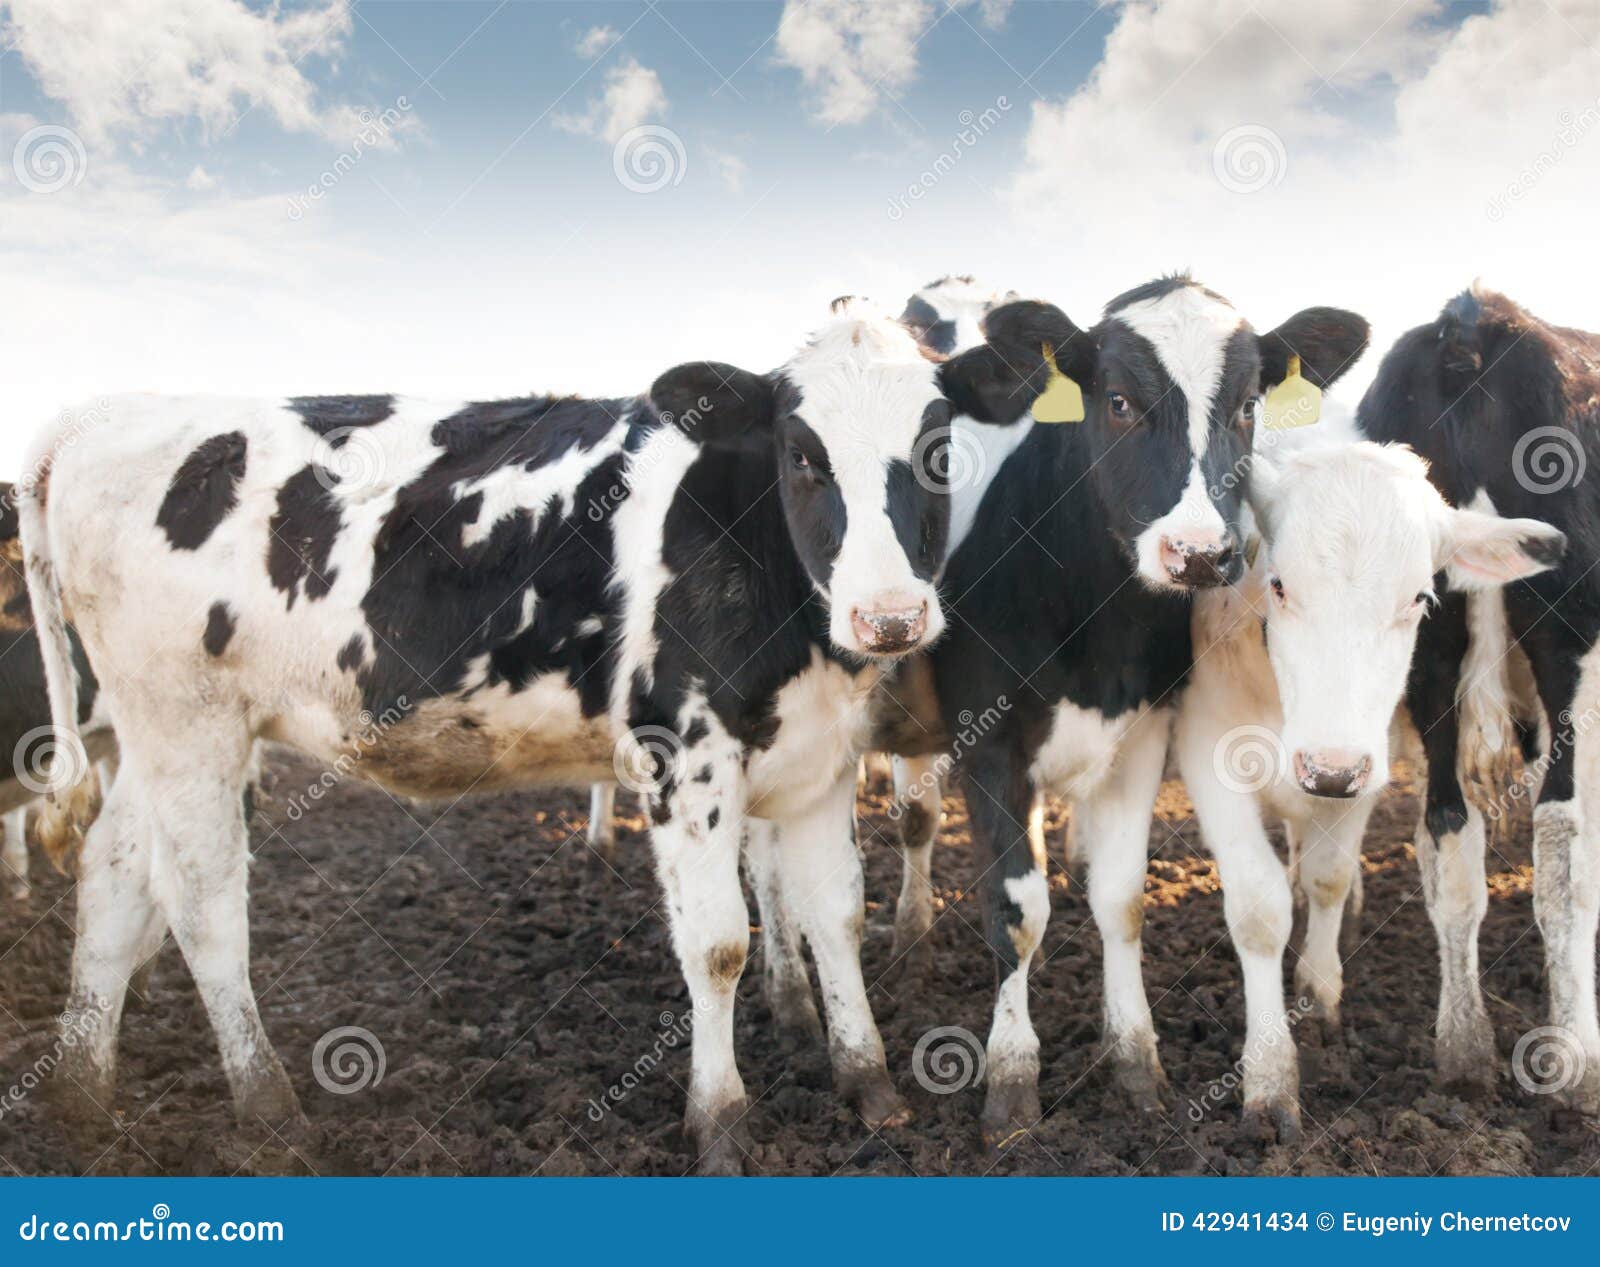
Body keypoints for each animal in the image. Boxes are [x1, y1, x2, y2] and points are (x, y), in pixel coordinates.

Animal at [20, 301, 1028, 1173]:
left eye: (938, 448)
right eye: (802, 454)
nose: (889, 617)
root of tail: (100, 415)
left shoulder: (819, 756)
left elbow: (836, 917)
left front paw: (870, 1086)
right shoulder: (684, 754)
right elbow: (717, 945)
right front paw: (721, 1123)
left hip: (154, 730)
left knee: (114, 871)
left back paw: (81, 1091)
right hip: (188, 719)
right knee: (200, 903)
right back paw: (268, 1108)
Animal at [1358, 286, 1600, 1115]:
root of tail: (1473, 324)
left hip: (1426, 649)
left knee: (1447, 833)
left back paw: (1462, 1048)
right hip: (1570, 653)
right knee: (1563, 843)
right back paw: (1577, 1065)